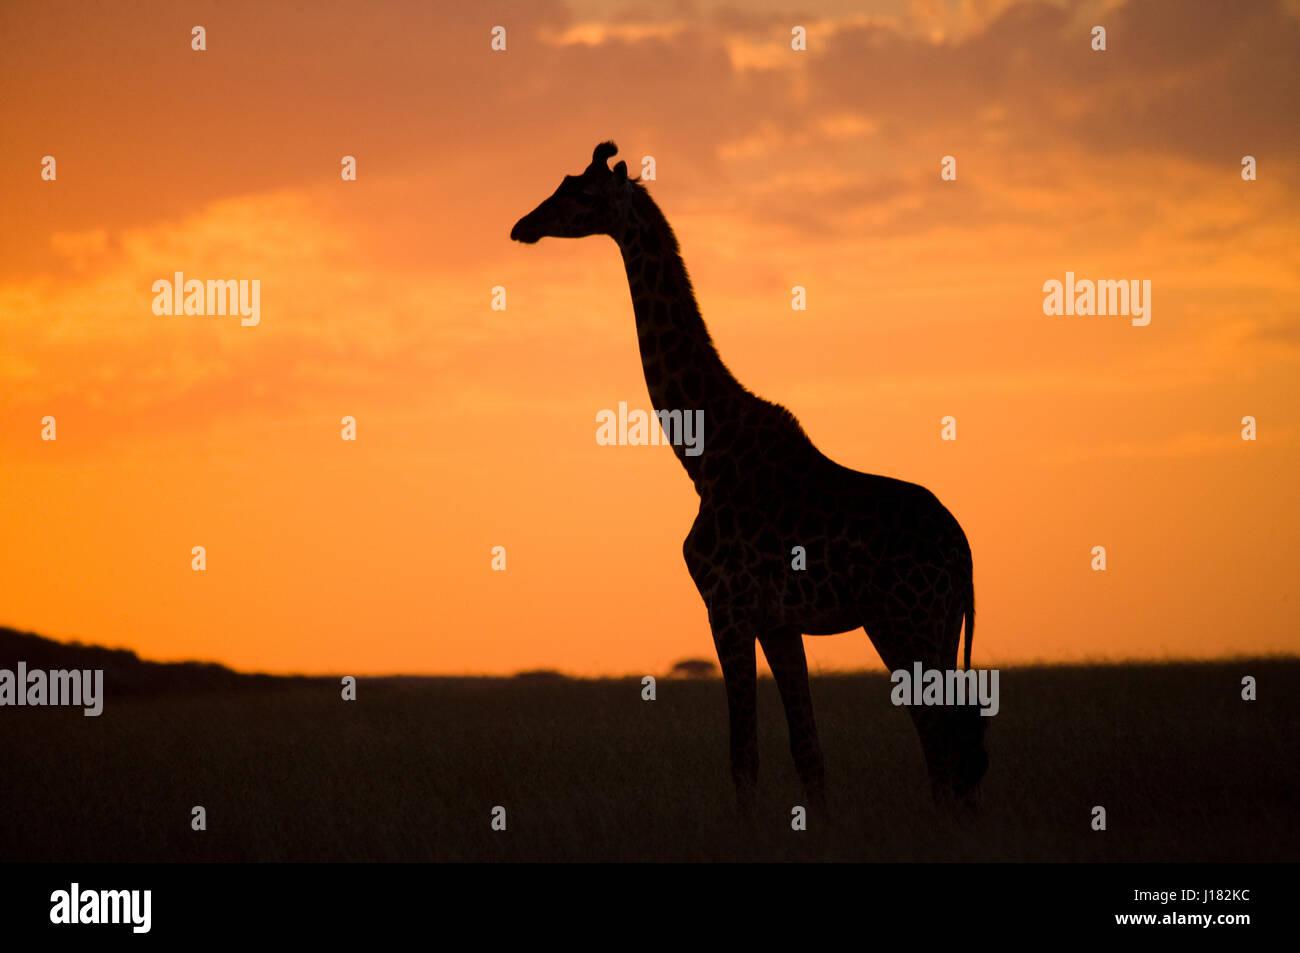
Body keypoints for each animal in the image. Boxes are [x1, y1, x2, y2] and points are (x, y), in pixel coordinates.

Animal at [511, 142, 988, 818]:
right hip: (936, 625)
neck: (703, 454)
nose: (522, 226)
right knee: (956, 741)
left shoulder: (726, 607)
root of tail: (964, 552)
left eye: (579, 194)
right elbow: (807, 752)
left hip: (906, 620)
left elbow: (744, 757)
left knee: (943, 741)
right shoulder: (778, 621)